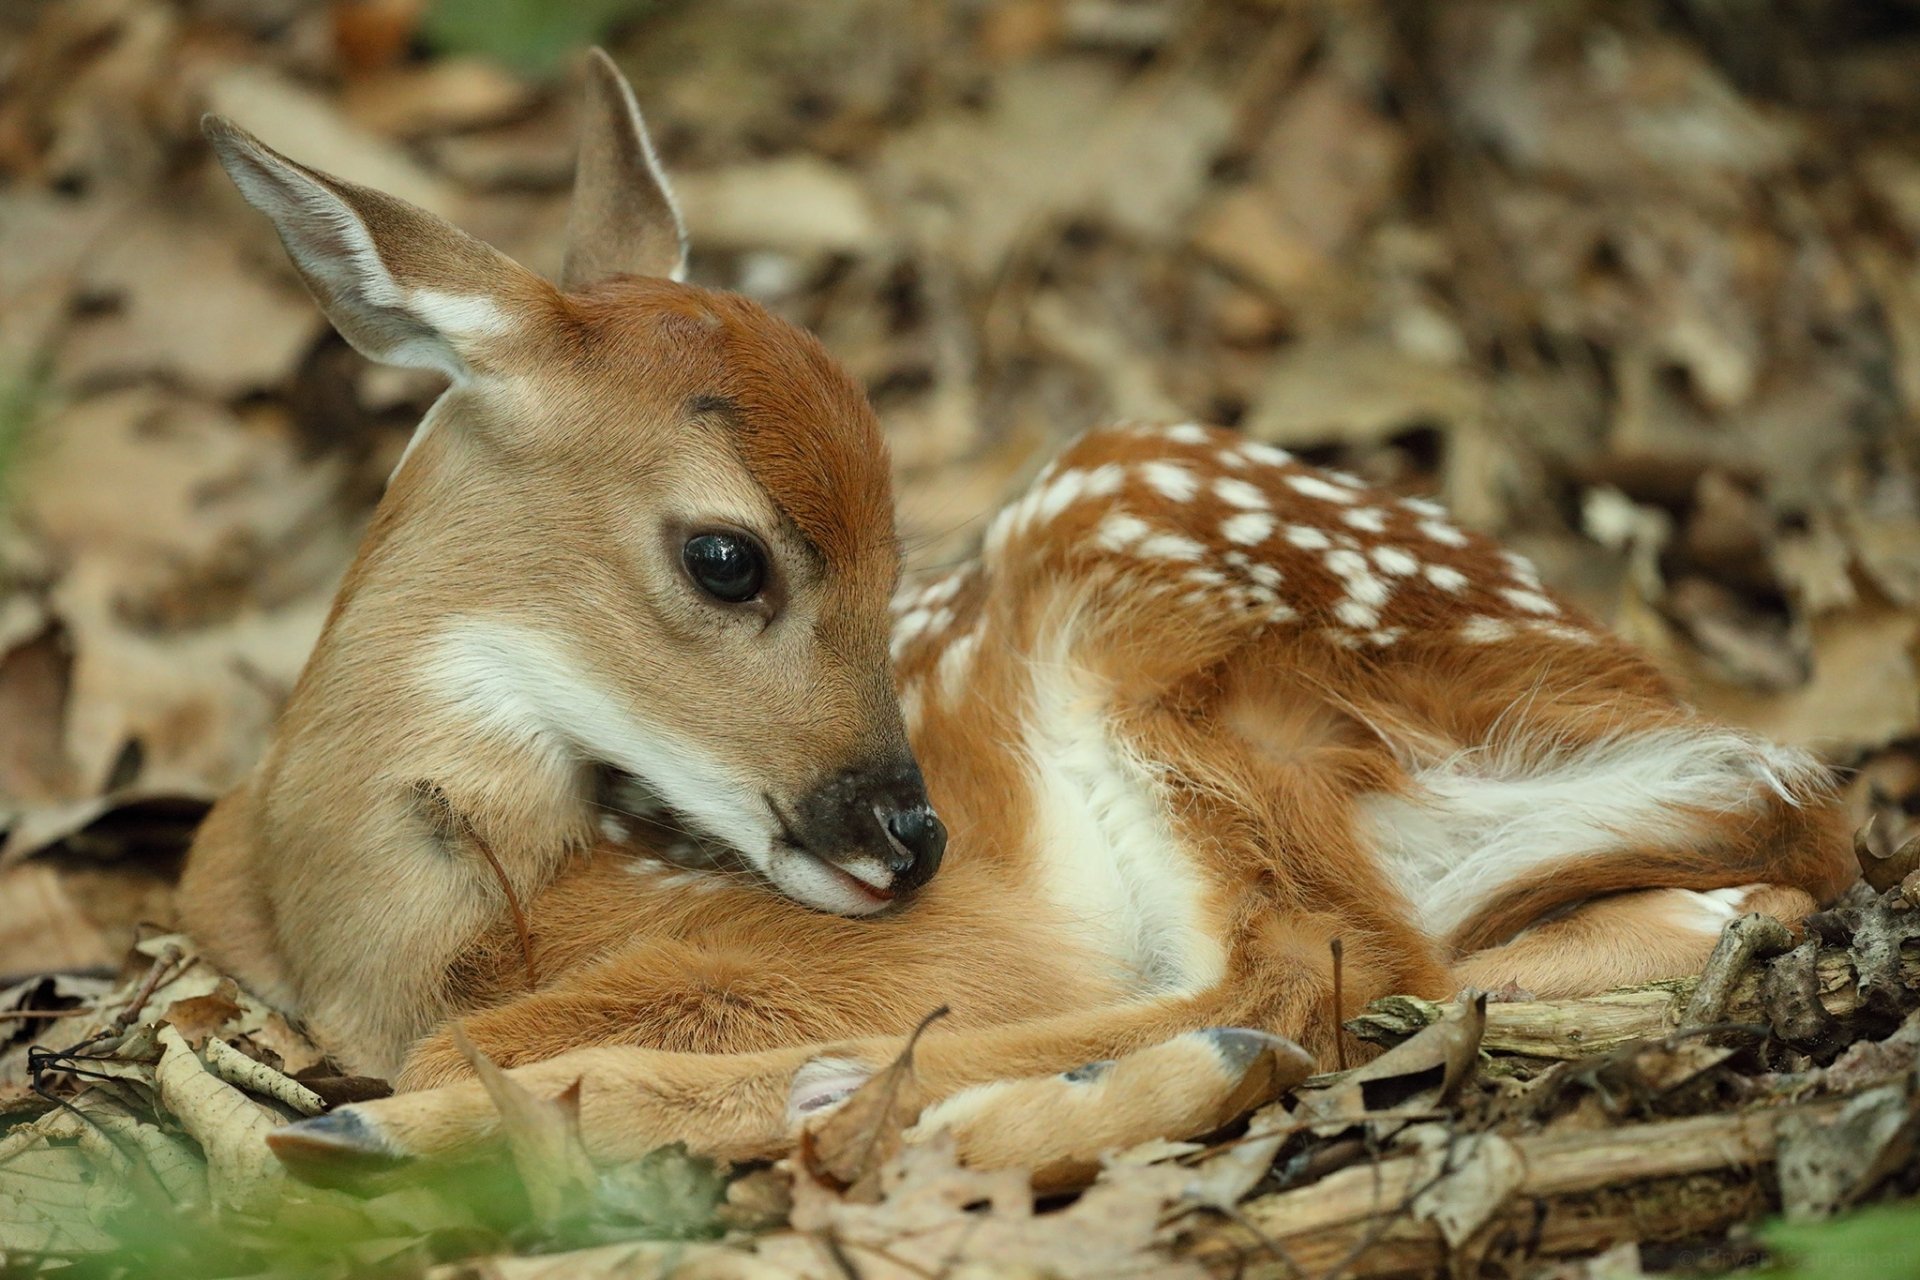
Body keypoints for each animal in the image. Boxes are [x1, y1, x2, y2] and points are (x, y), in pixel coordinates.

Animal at [174, 51, 1855, 1181]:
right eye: (727, 558)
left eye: (895, 546)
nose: (913, 837)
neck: (383, 939)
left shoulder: (915, 946)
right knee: (1638, 923)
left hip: (1142, 625)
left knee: (1313, 972)